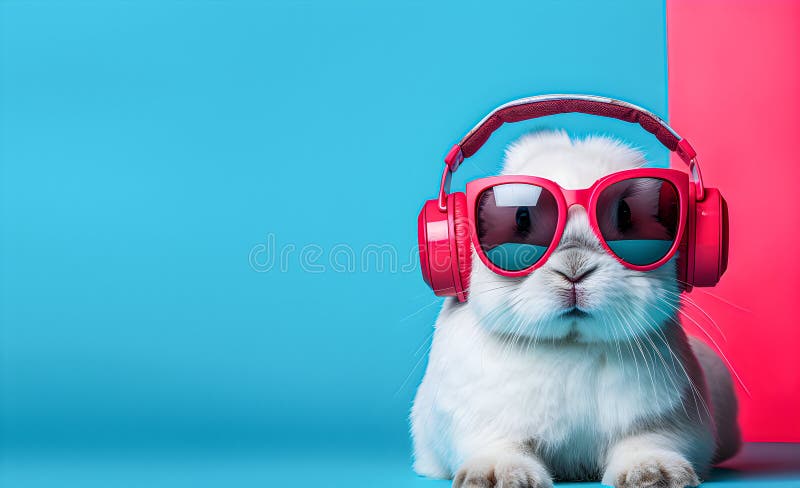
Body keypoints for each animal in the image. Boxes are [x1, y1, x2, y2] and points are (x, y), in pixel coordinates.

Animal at [410, 131, 741, 488]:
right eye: (521, 218)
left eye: (626, 215)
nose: (574, 269)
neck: (571, 347)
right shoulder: (478, 423)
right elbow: (499, 444)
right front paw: (499, 476)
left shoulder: (670, 423)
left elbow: (647, 442)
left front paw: (655, 474)